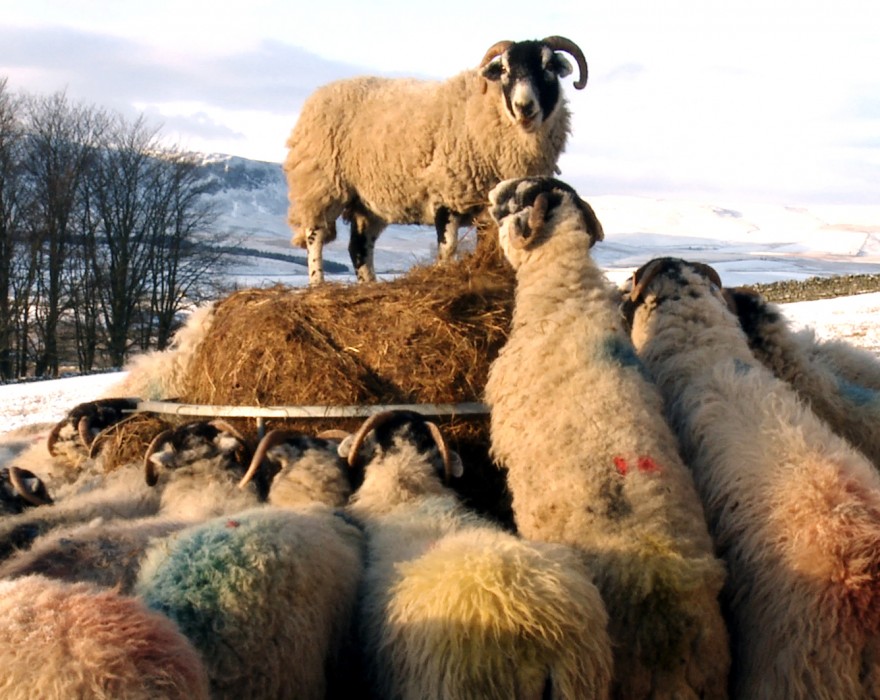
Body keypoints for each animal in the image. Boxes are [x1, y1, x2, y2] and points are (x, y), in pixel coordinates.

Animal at [283, 36, 588, 284]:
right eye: (504, 70)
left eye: (548, 68)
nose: (524, 107)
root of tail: (321, 91)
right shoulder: (447, 192)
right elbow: (447, 247)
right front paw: (443, 274)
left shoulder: (485, 208)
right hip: (321, 185)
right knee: (315, 236)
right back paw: (317, 284)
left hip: (366, 203)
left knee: (359, 248)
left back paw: (369, 286)